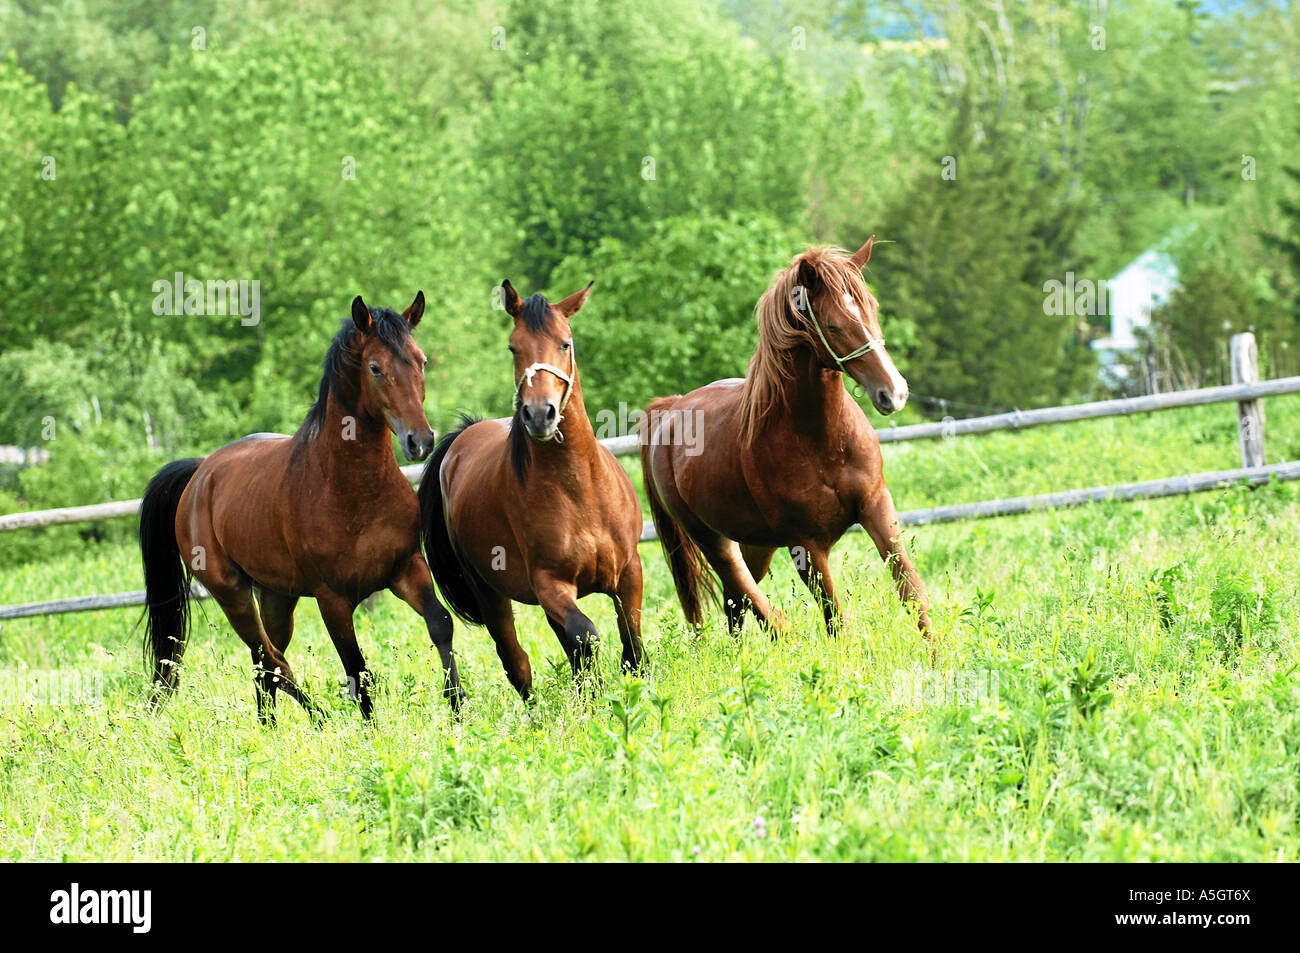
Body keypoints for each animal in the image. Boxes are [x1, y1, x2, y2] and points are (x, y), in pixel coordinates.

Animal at [139, 292, 465, 722]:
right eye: (375, 367)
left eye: (421, 360)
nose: (421, 440)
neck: (353, 492)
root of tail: (199, 474)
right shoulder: (333, 600)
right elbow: (357, 670)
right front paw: (373, 731)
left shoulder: (407, 568)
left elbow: (440, 624)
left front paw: (459, 710)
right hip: (232, 593)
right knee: (271, 659)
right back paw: (318, 719)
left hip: (278, 597)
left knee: (265, 666)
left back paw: (271, 728)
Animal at [417, 279, 645, 698]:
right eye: (513, 347)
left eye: (565, 343)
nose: (540, 414)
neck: (580, 492)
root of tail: (461, 442)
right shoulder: (550, 584)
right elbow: (587, 637)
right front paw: (598, 698)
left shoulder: (629, 572)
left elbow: (630, 641)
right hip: (489, 594)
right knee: (516, 661)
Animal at [639, 236, 932, 639]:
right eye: (833, 325)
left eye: (872, 308)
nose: (894, 392)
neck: (822, 441)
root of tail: (671, 410)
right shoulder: (806, 545)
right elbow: (835, 619)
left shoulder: (877, 506)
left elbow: (912, 591)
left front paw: (938, 651)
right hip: (713, 541)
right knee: (745, 595)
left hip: (755, 545)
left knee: (735, 601)